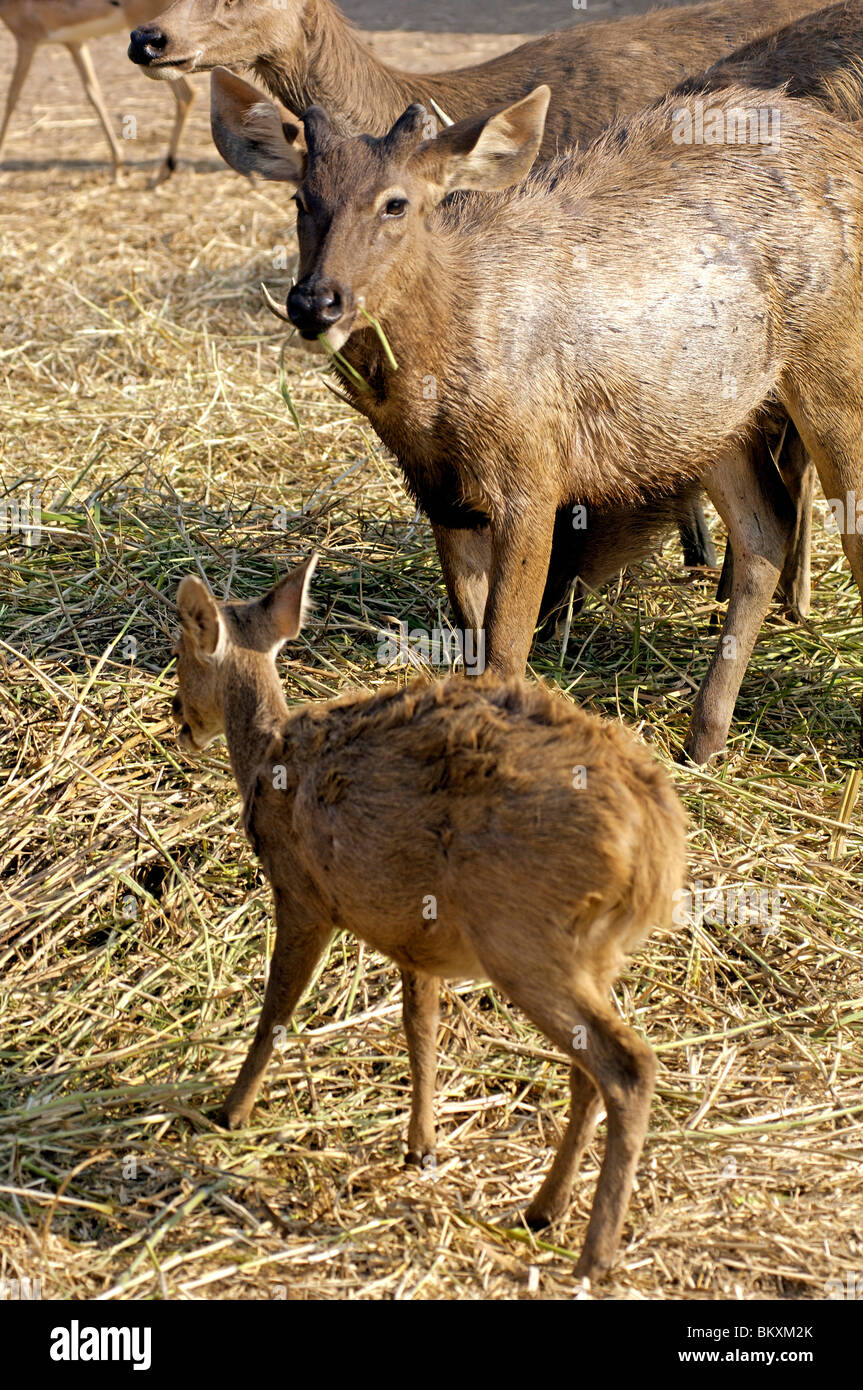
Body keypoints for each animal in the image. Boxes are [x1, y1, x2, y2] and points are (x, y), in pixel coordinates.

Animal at [0, 0, 194, 181]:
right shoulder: (74, 42)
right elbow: (94, 94)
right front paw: (117, 167)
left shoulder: (27, 41)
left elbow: (12, 97)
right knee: (188, 93)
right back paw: (164, 171)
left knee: (186, 93)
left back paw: (163, 172)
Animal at [172, 555, 688, 1281]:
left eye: (180, 650)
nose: (178, 718)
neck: (268, 759)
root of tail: (657, 850)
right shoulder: (415, 938)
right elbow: (420, 1029)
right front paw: (422, 1146)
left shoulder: (303, 893)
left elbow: (276, 1009)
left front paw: (228, 1113)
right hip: (591, 953)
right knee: (589, 1070)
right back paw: (540, 1210)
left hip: (522, 936)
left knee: (628, 1066)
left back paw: (592, 1257)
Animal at [209, 73, 863, 765]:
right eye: (302, 198)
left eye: (396, 203)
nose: (315, 301)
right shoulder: (441, 494)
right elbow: (471, 640)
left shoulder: (533, 472)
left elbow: (505, 648)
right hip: (715, 417)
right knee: (765, 529)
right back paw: (701, 742)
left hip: (831, 367)